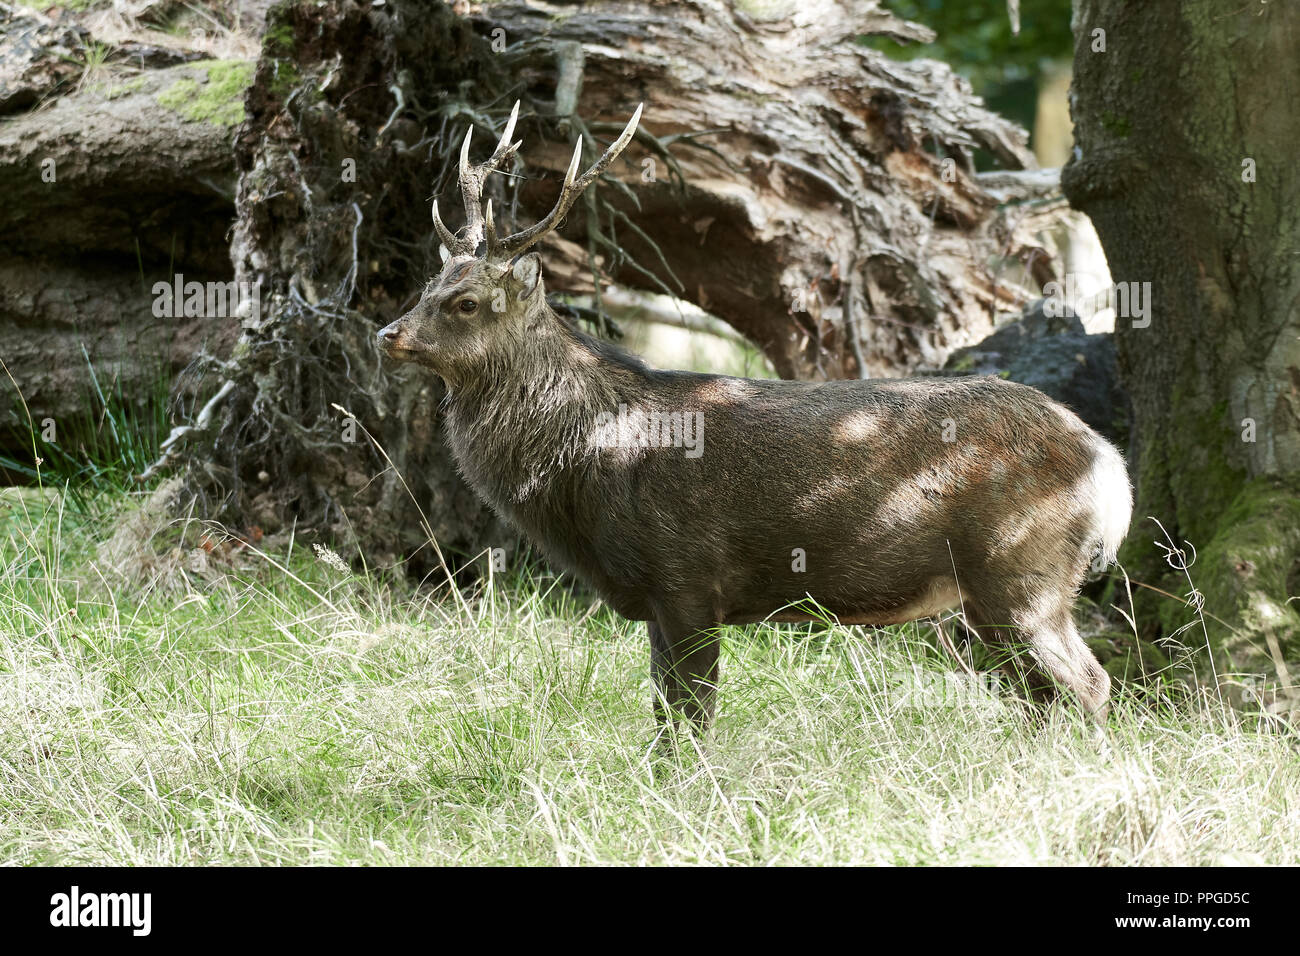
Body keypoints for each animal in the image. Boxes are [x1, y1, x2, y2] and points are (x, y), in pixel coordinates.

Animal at [377, 101, 1133, 739]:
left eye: (467, 302)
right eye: (428, 287)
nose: (388, 334)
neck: (594, 456)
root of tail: (1111, 469)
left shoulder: (686, 574)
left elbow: (689, 718)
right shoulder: (664, 599)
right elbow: (667, 714)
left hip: (1023, 566)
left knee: (1091, 686)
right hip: (996, 594)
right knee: (1041, 699)